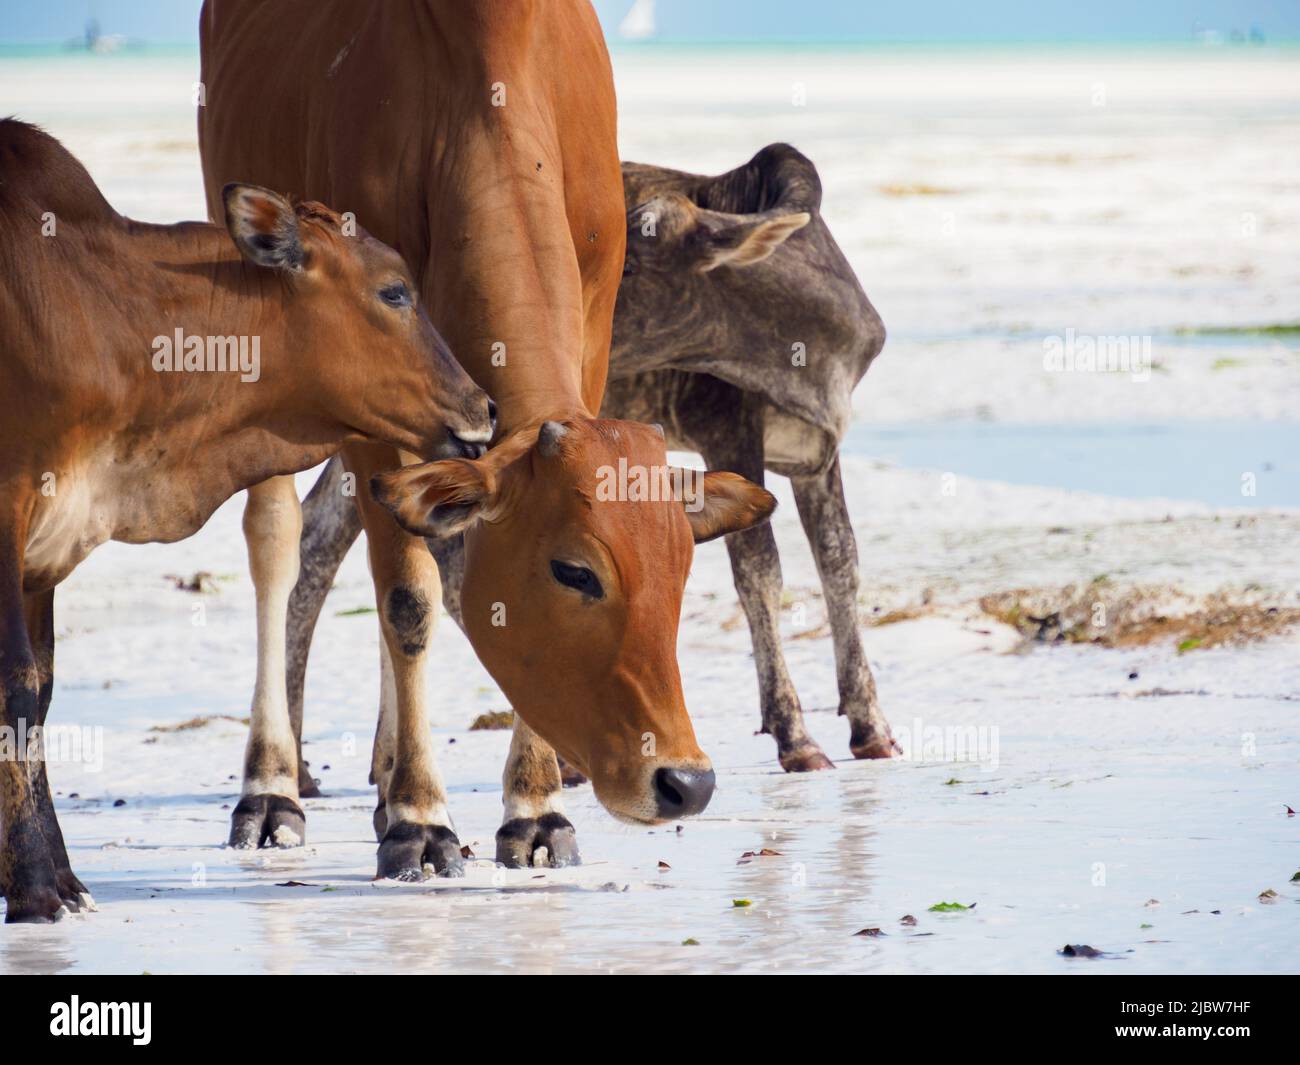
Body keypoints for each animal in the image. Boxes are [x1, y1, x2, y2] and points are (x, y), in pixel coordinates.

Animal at [0, 117, 493, 922]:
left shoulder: (47, 547)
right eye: (394, 292)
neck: (95, 303)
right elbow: (16, 689)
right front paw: (39, 886)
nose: (485, 407)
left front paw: (55, 876)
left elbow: (37, 695)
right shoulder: (8, 513)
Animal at [198, 0, 775, 878]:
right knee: (277, 537)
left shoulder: (590, 336)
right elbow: (407, 598)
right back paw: (272, 791)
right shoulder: (375, 399)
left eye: (681, 569)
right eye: (574, 571)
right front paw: (419, 819)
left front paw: (534, 808)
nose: (686, 782)